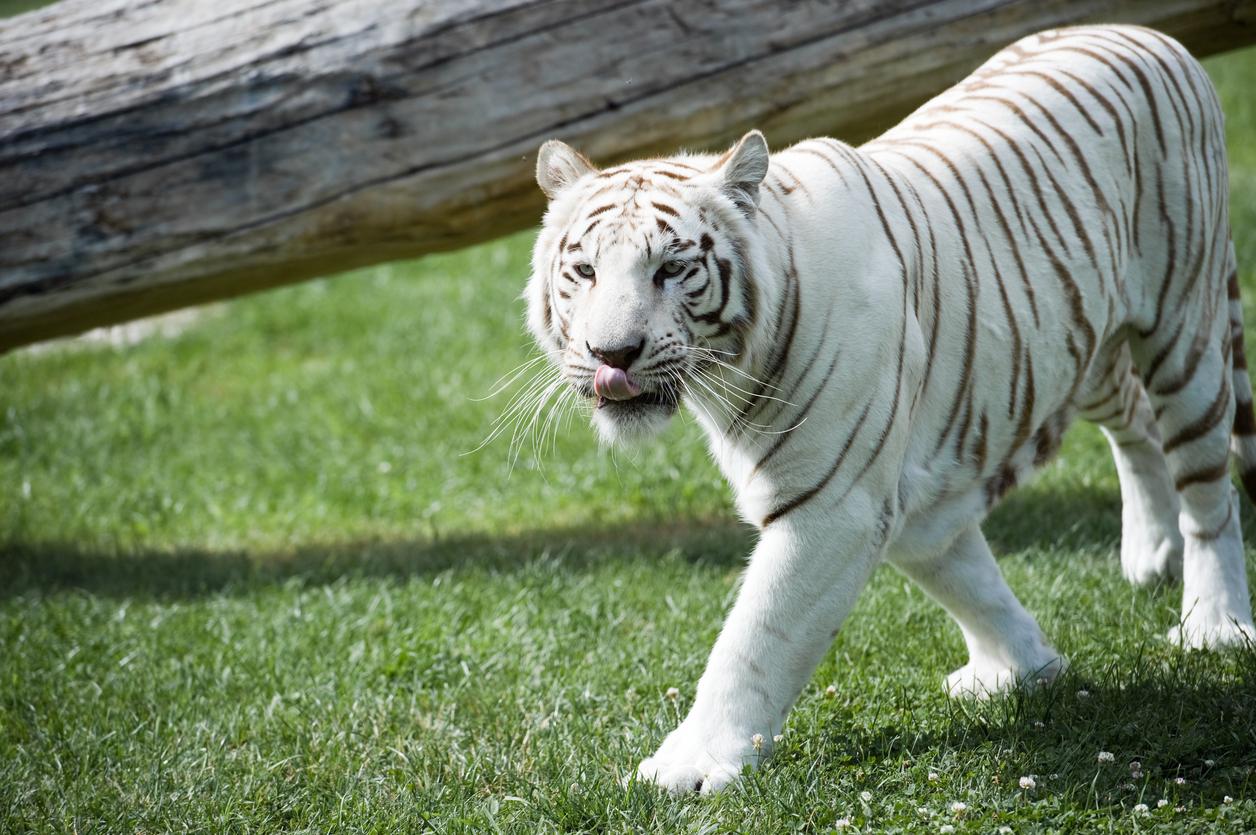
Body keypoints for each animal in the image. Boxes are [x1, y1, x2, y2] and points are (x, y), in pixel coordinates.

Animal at [523, 24, 1256, 793]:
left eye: (671, 268)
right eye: (584, 271)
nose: (612, 354)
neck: (728, 372)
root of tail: (1148, 33)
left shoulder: (832, 502)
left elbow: (756, 638)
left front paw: (689, 767)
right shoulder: (908, 485)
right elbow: (968, 575)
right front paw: (1021, 667)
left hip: (1184, 329)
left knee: (1209, 489)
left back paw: (1214, 625)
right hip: (1081, 343)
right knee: (1136, 426)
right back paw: (1151, 555)